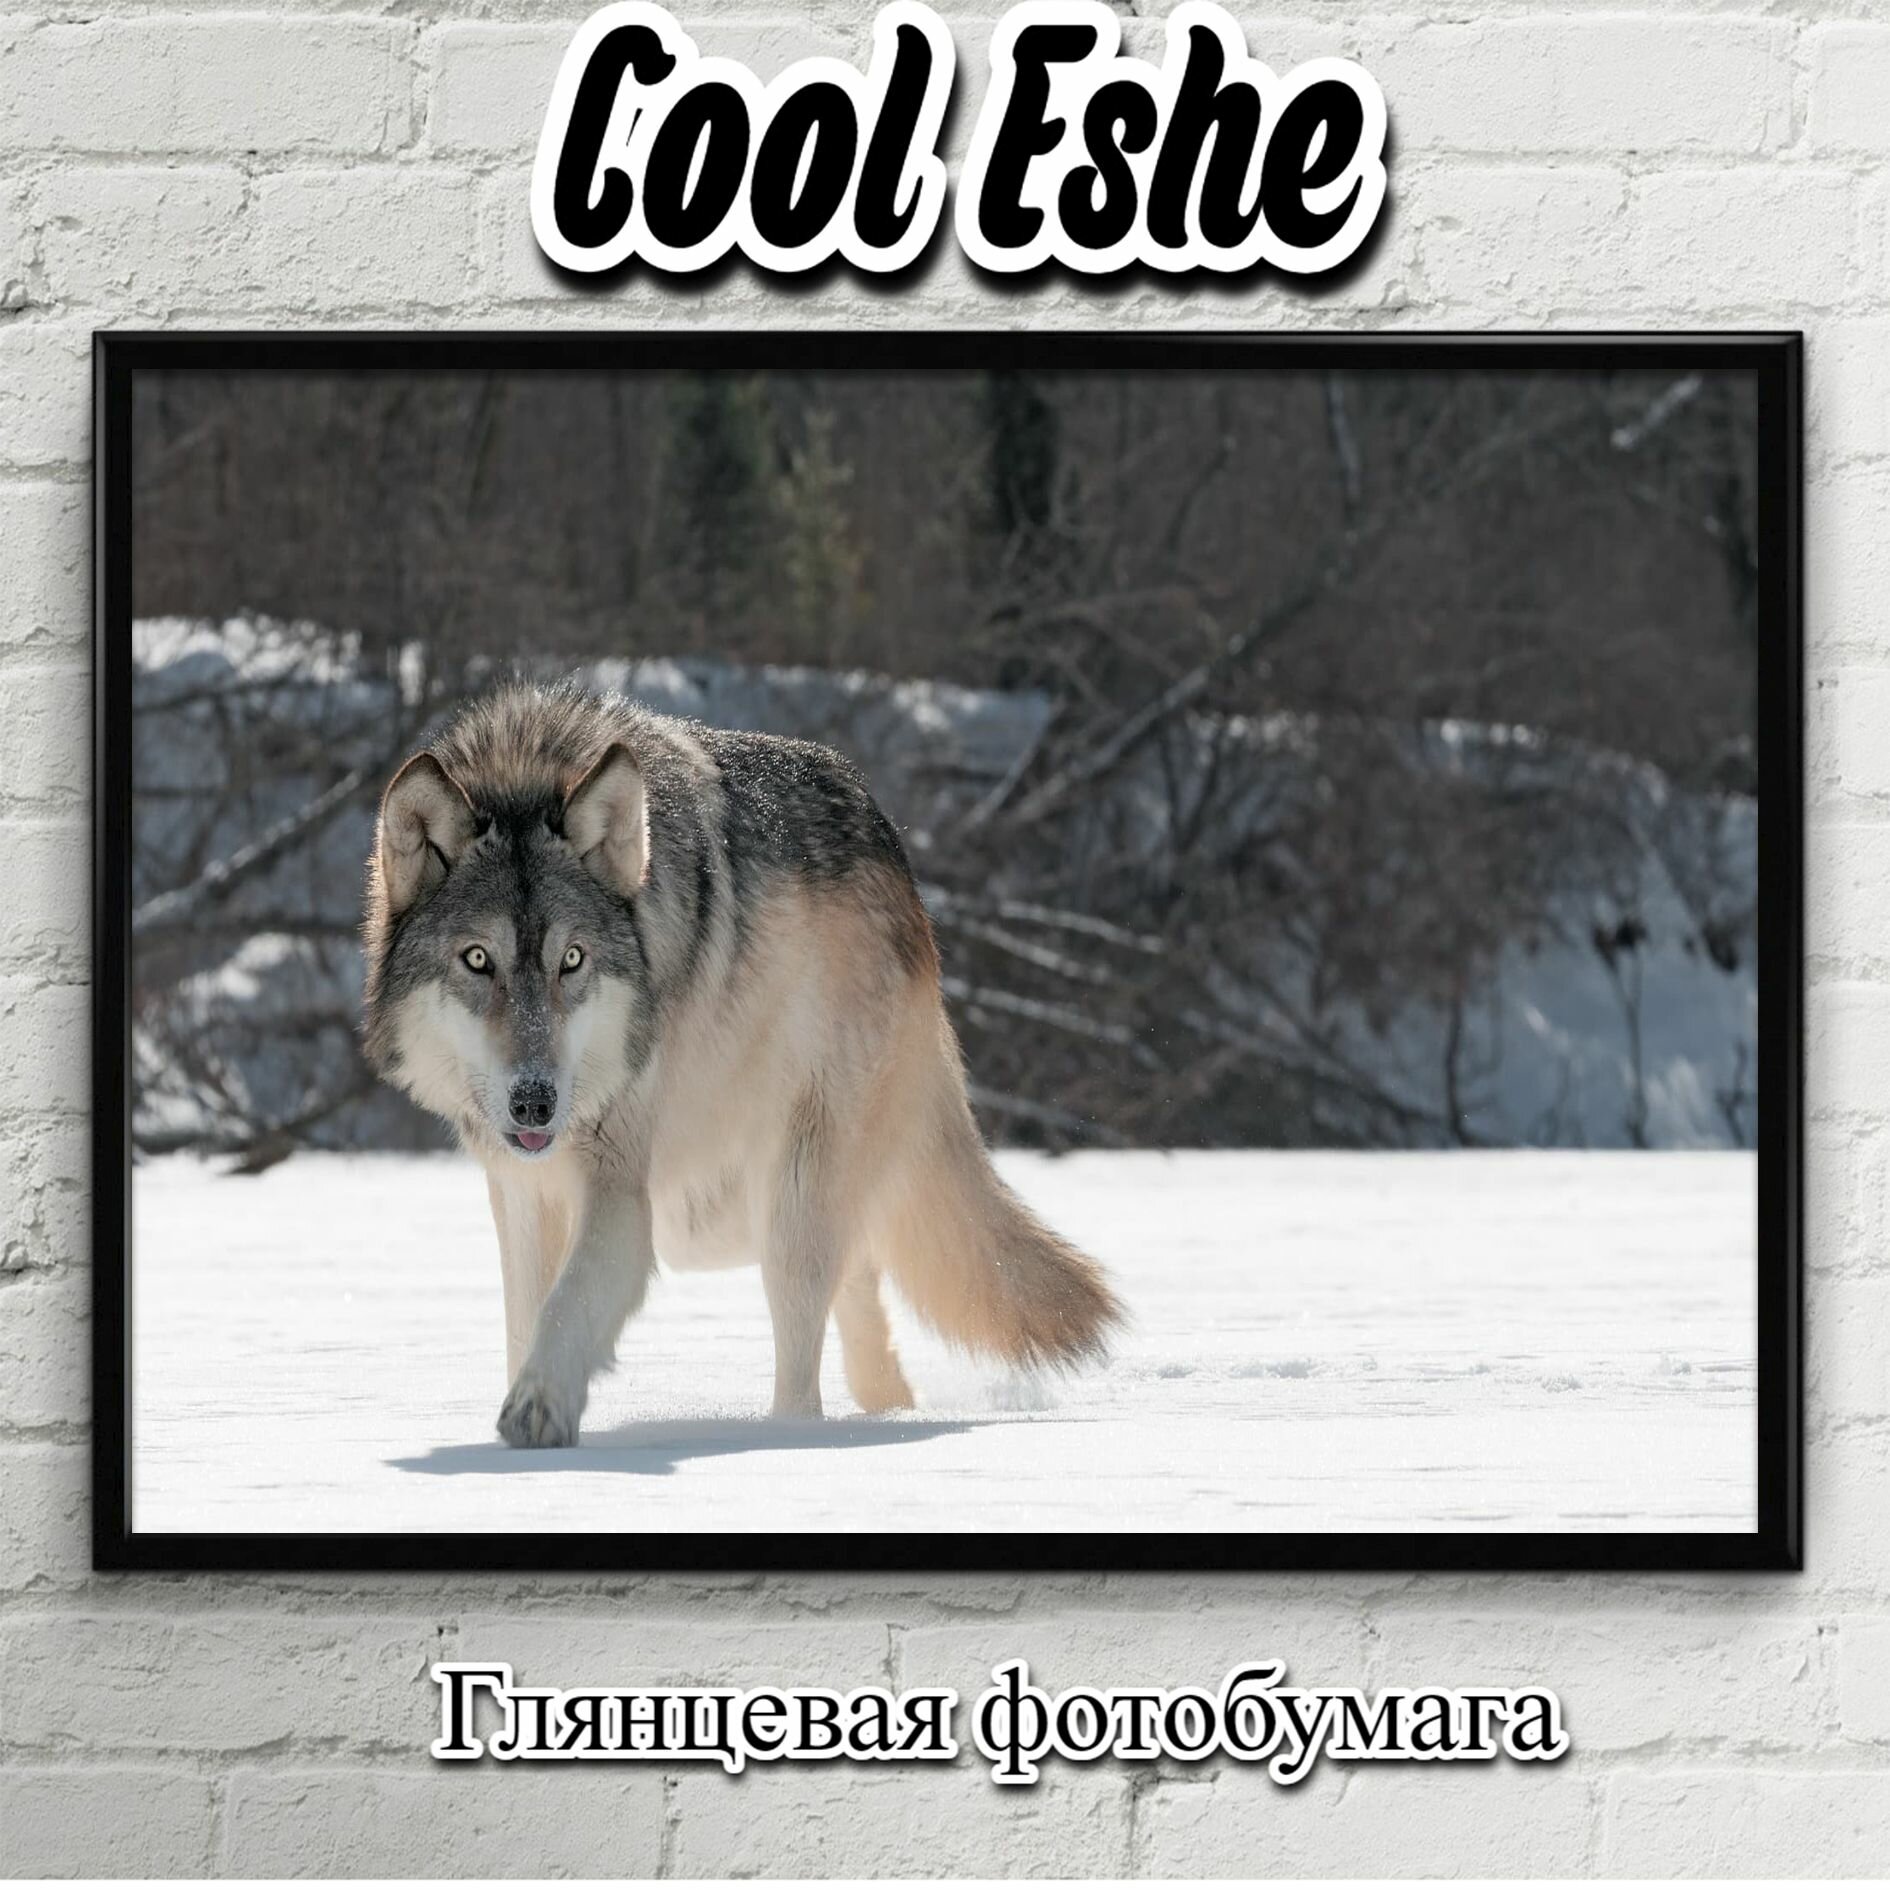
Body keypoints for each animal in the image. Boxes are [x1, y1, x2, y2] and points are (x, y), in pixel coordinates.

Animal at [362, 680, 1121, 1447]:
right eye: (477, 960)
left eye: (571, 960)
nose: (535, 1102)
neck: (527, 766)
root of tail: (903, 871)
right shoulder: (522, 1191)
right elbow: (527, 1317)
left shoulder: (618, 1188)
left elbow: (567, 1305)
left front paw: (538, 1408)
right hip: (721, 1211)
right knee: (861, 1289)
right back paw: (886, 1411)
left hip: (784, 1197)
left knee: (807, 1353)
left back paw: (790, 1437)